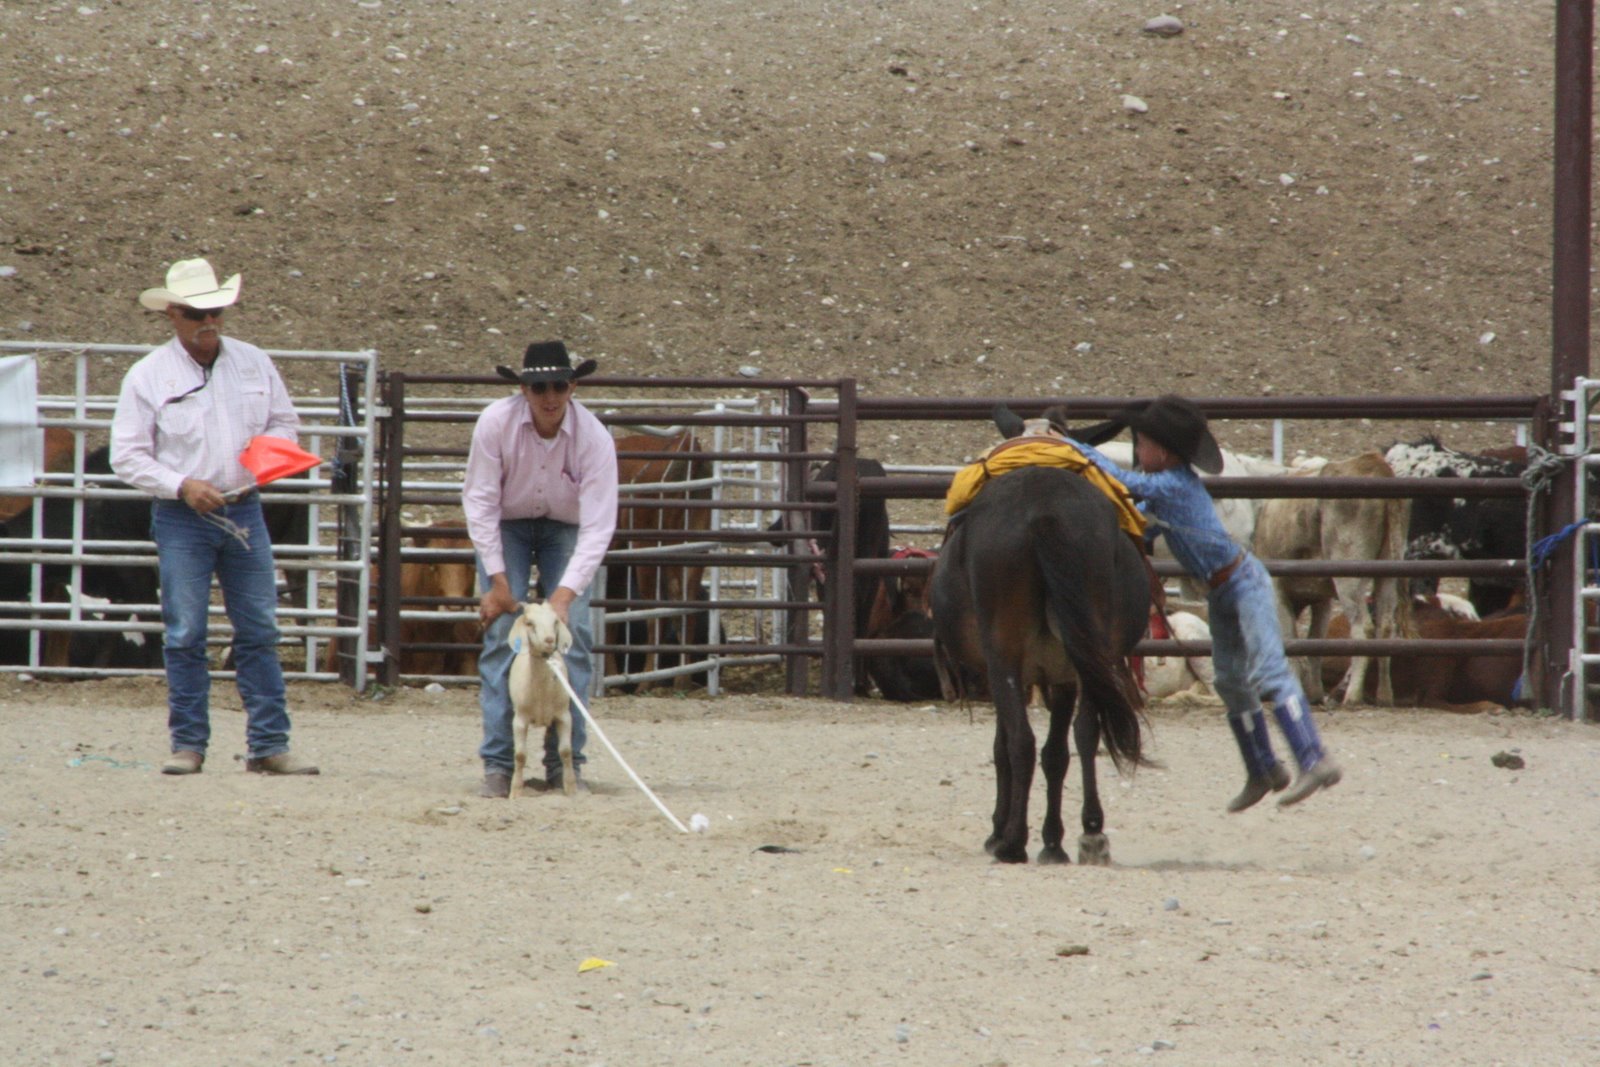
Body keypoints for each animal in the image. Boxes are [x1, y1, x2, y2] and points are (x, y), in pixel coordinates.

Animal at [507, 601, 577, 799]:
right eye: (529, 623)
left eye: (555, 621)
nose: (549, 640)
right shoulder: (519, 719)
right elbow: (520, 755)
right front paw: (515, 792)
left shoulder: (564, 716)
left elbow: (566, 751)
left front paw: (571, 789)